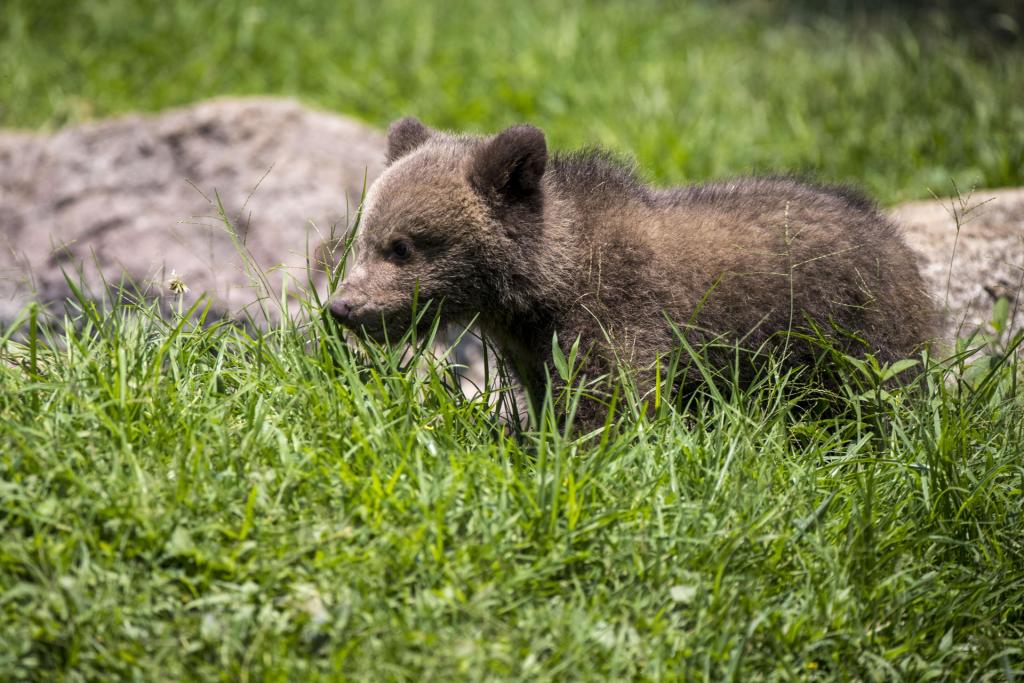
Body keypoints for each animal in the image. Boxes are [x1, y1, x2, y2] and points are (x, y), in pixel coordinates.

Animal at [329, 117, 937, 426]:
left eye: (402, 247)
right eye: (364, 238)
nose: (342, 306)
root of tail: (893, 235)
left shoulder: (618, 320)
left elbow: (611, 403)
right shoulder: (533, 345)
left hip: (853, 337)